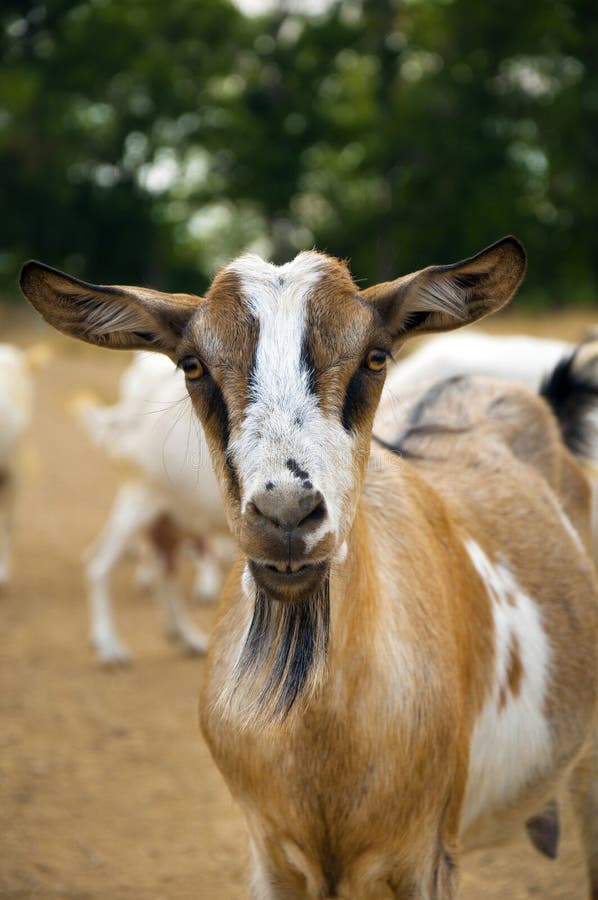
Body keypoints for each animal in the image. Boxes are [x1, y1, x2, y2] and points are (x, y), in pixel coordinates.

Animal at [78, 351, 230, 663]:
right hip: (138, 504)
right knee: (98, 564)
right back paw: (109, 647)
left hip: (171, 520)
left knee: (166, 570)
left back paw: (188, 638)